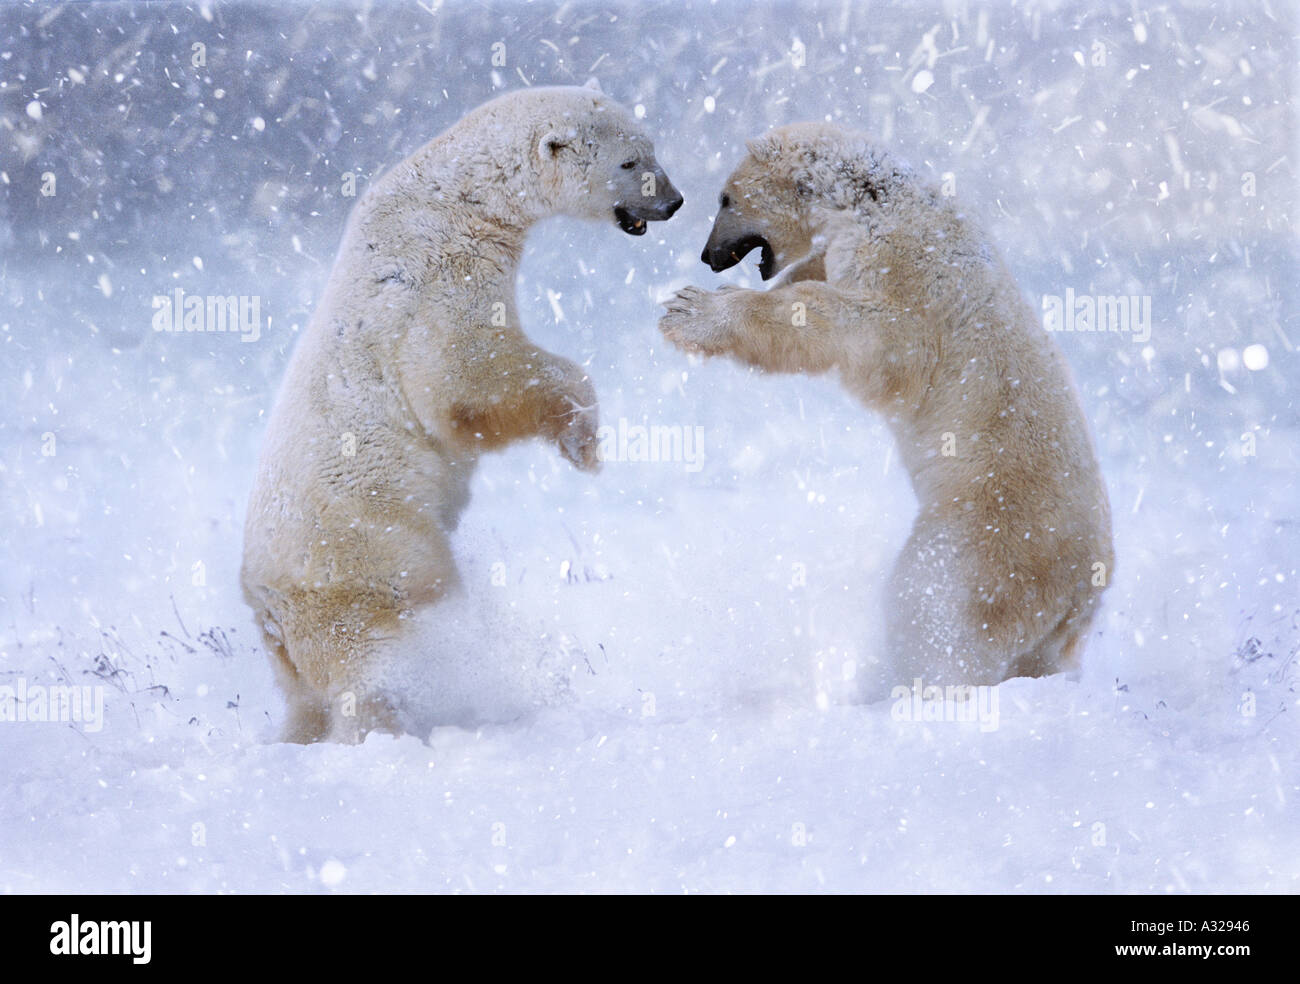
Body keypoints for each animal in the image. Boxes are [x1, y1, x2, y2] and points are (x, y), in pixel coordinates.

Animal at [242, 83, 682, 743]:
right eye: (631, 162)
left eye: (651, 149)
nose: (674, 202)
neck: (456, 194)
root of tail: (267, 606)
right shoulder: (436, 275)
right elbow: (463, 379)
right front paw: (584, 441)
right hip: (369, 561)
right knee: (381, 664)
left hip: (299, 643)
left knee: (308, 700)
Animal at [658, 123, 1113, 686]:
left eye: (725, 198)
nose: (707, 256)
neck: (878, 200)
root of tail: (1083, 594)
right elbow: (817, 274)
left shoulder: (912, 274)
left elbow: (860, 328)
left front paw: (691, 310)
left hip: (989, 541)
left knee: (933, 611)